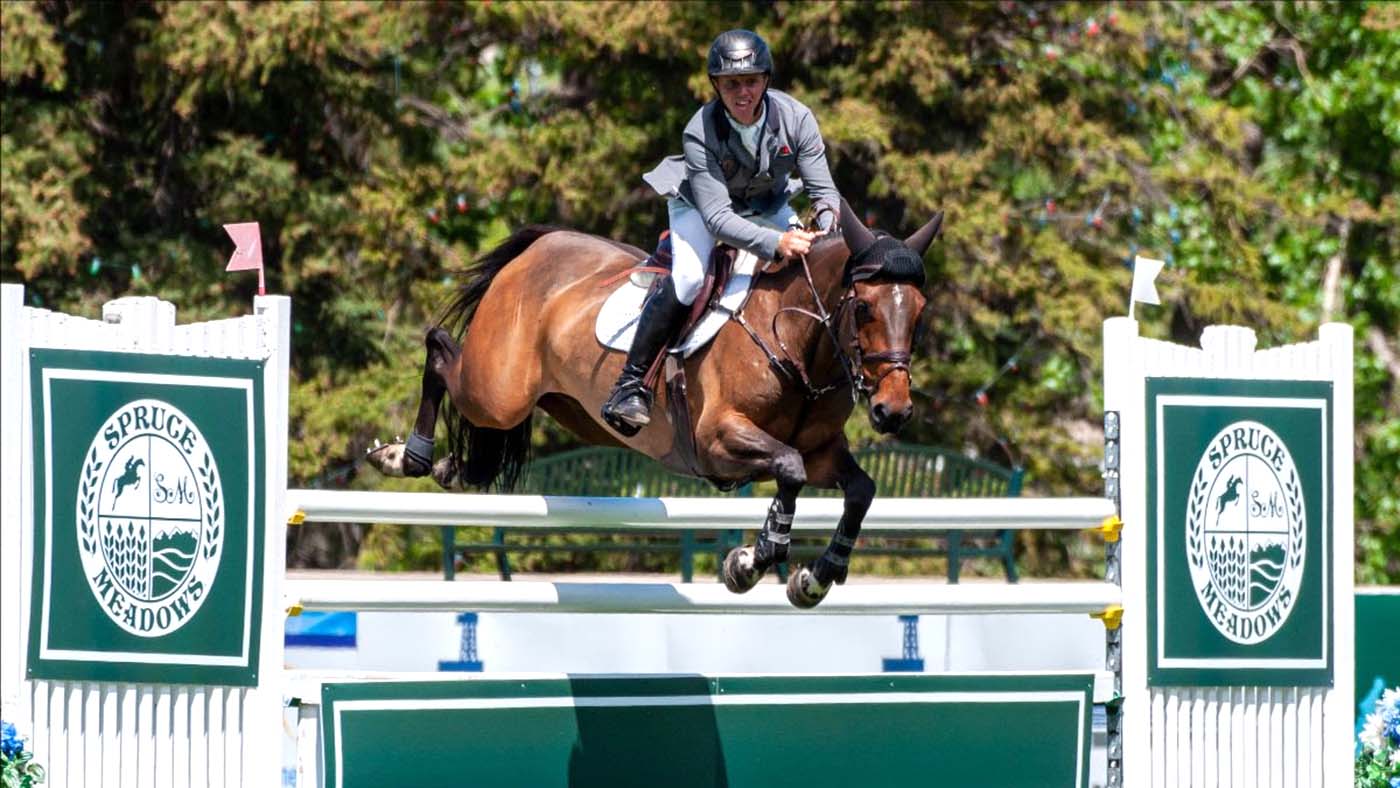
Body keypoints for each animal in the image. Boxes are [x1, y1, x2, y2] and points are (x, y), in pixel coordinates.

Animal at [367, 199, 942, 608]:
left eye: (918, 311)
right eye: (863, 307)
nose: (893, 412)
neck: (796, 344)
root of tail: (540, 246)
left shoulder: (824, 452)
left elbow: (859, 489)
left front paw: (816, 578)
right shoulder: (717, 441)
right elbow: (789, 467)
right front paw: (749, 563)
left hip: (569, 407)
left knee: (483, 437)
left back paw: (448, 466)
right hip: (497, 390)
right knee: (440, 350)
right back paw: (404, 455)